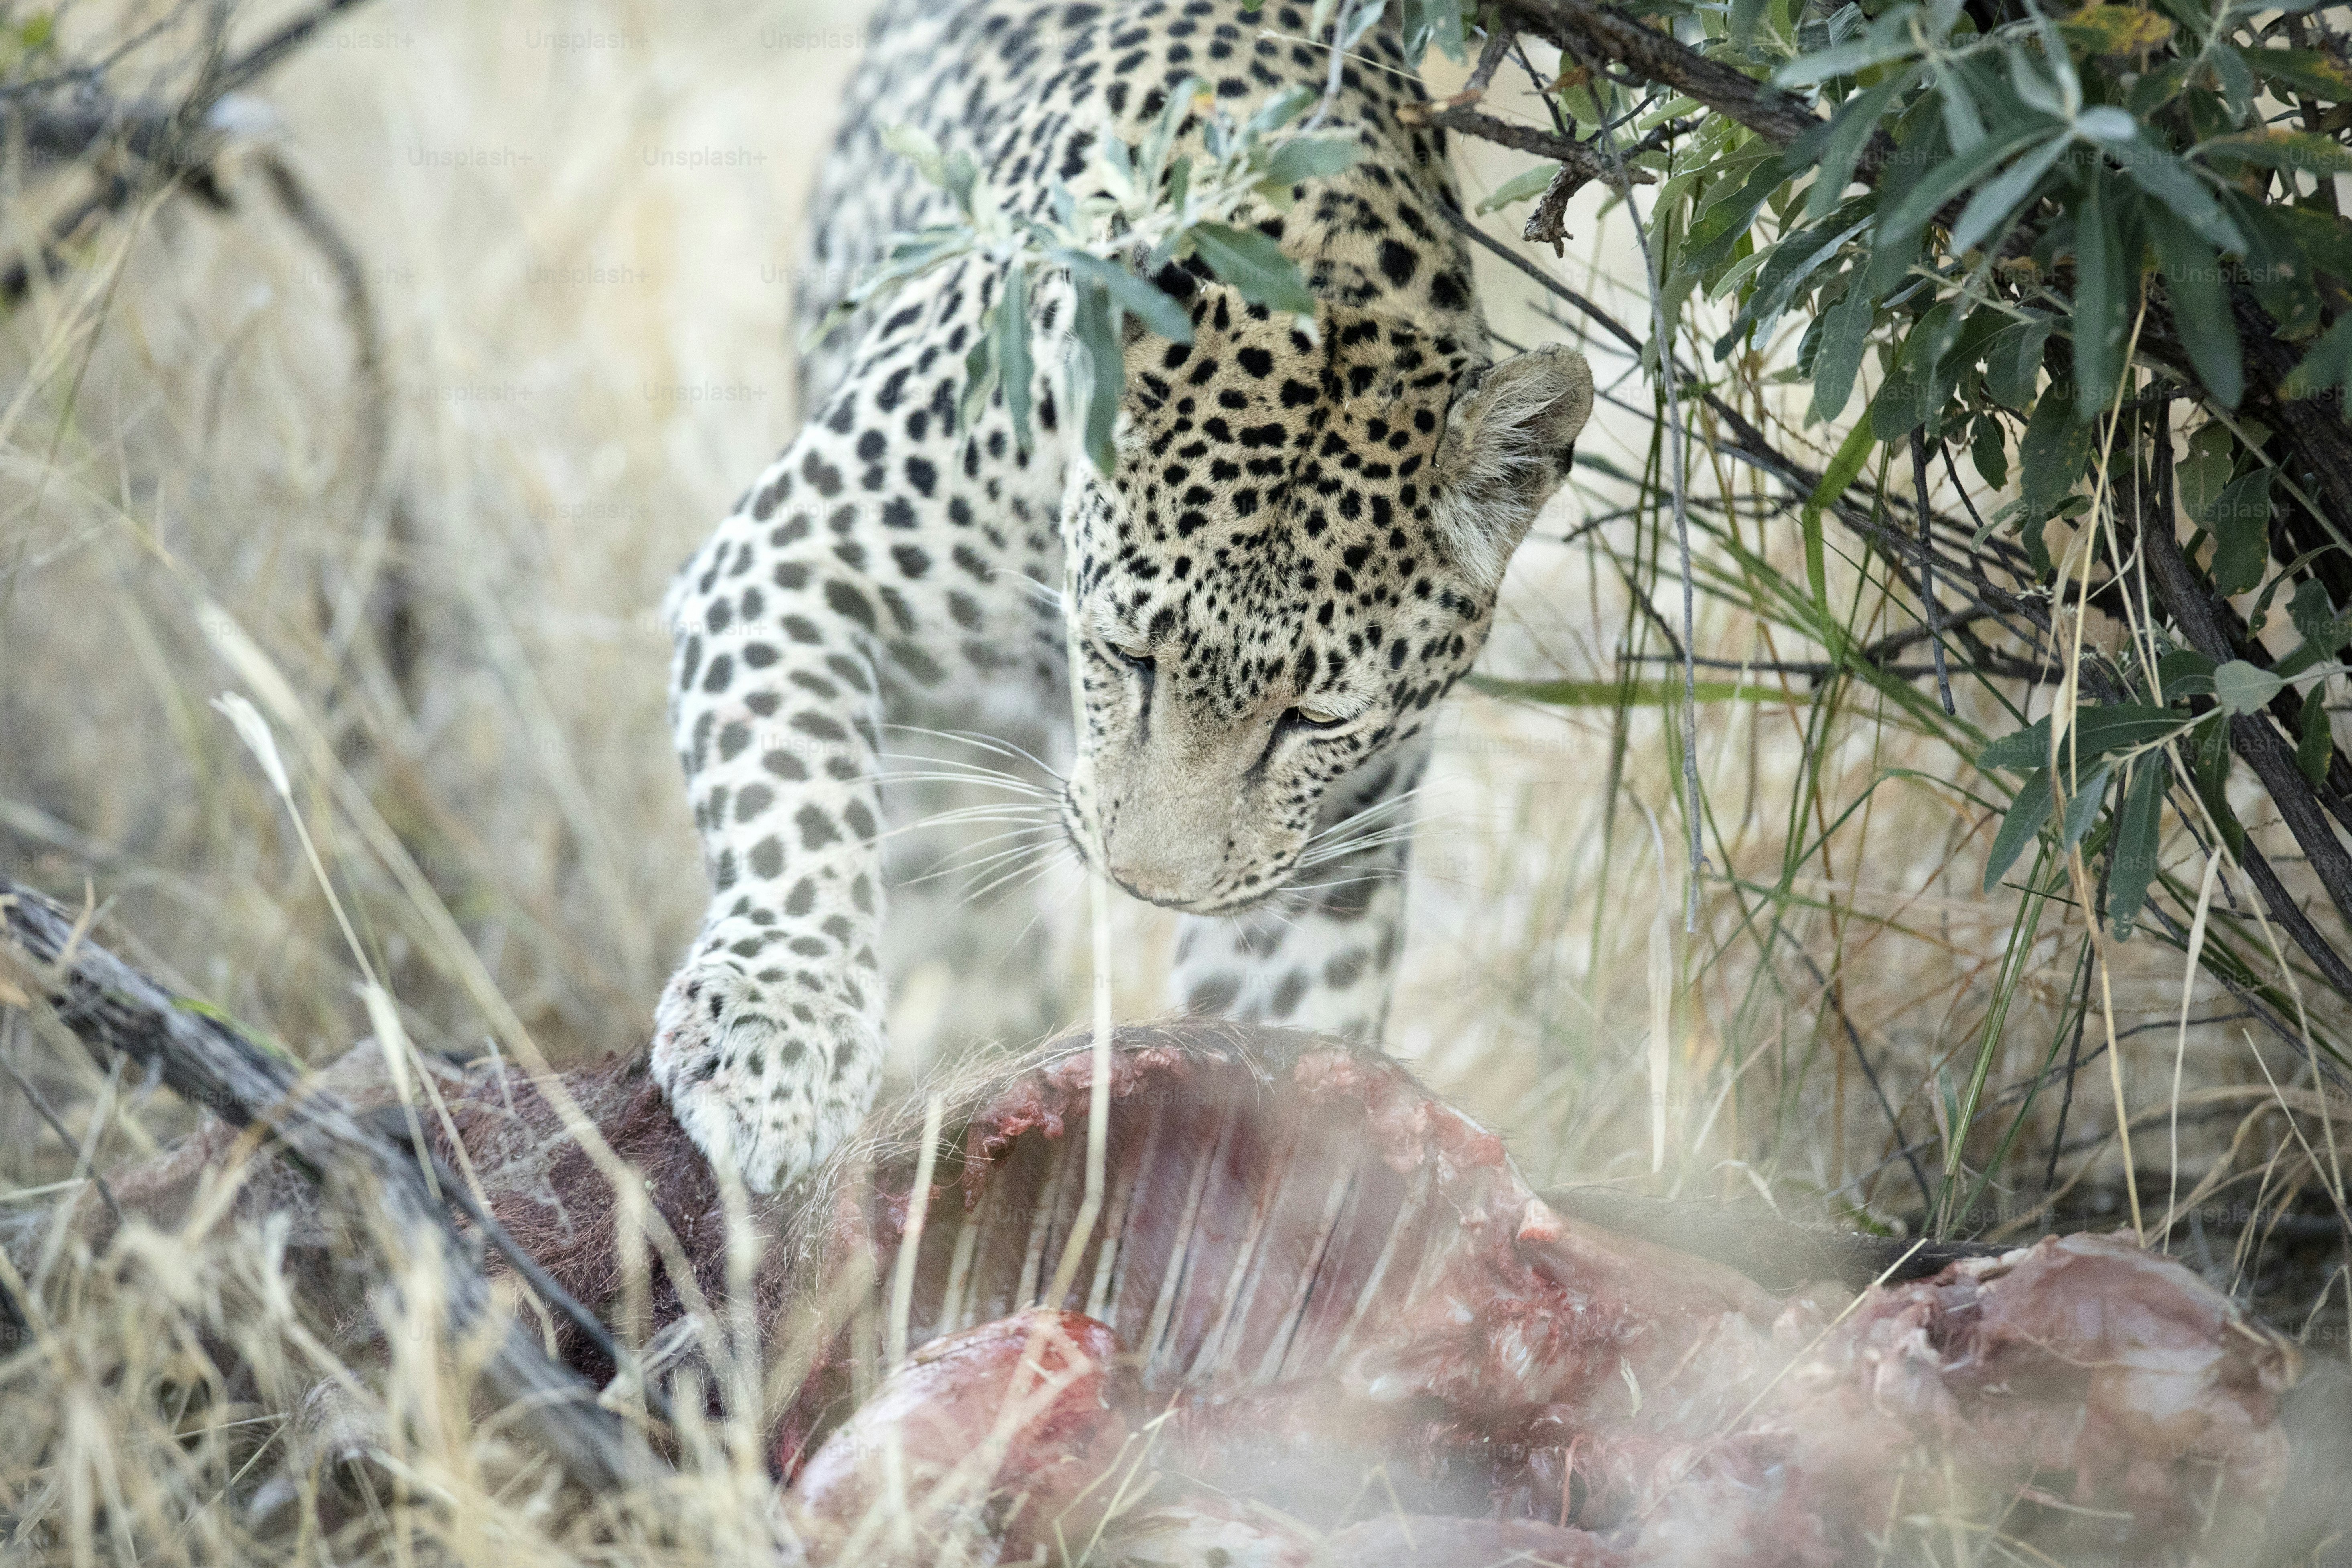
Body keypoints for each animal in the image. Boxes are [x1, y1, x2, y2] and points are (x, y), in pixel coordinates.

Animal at [654, 0, 1595, 1192]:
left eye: (1310, 718)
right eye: (1128, 654)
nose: (1149, 886)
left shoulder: (1329, 847)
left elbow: (1289, 1021)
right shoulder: (797, 547)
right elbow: (794, 805)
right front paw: (777, 1036)